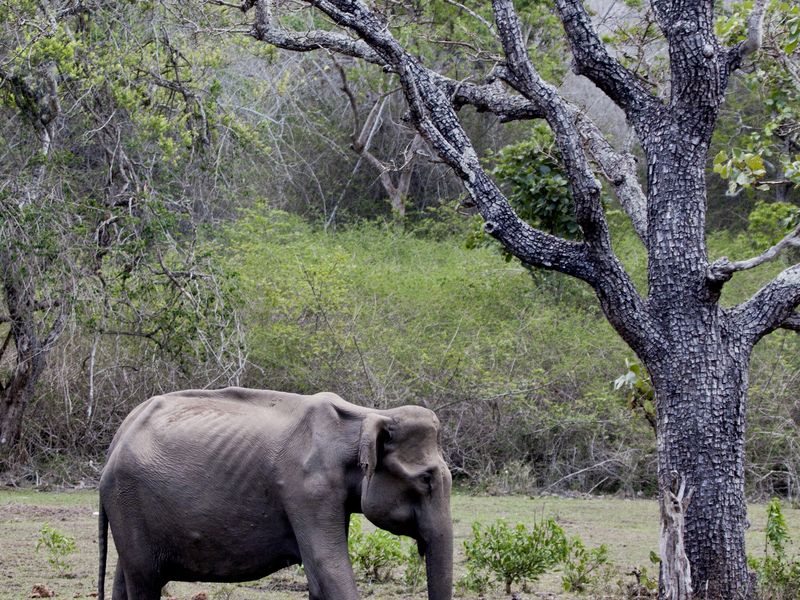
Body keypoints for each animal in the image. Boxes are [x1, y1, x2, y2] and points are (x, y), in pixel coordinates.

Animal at [97, 387, 453, 600]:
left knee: (126, 577)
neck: (367, 416)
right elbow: (327, 567)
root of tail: (119, 433)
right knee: (144, 580)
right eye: (425, 480)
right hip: (127, 498)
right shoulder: (307, 489)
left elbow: (320, 577)